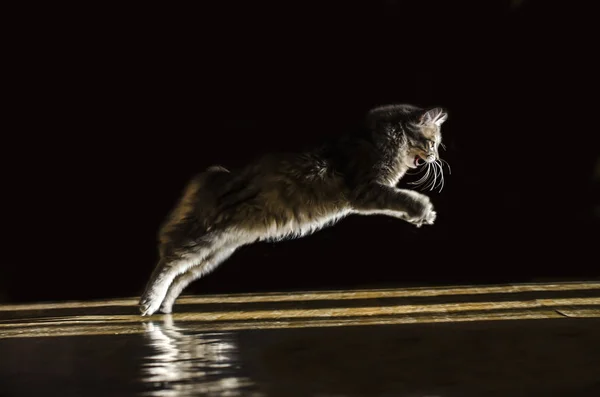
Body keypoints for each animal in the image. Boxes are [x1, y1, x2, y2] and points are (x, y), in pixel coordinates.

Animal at [141, 103, 448, 314]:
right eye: (433, 143)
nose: (435, 157)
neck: (382, 139)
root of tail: (214, 176)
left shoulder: (372, 193)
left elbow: (399, 203)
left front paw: (421, 218)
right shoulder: (367, 189)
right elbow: (405, 197)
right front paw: (424, 210)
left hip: (215, 253)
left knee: (181, 274)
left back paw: (164, 306)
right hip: (206, 239)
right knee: (169, 263)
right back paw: (149, 302)